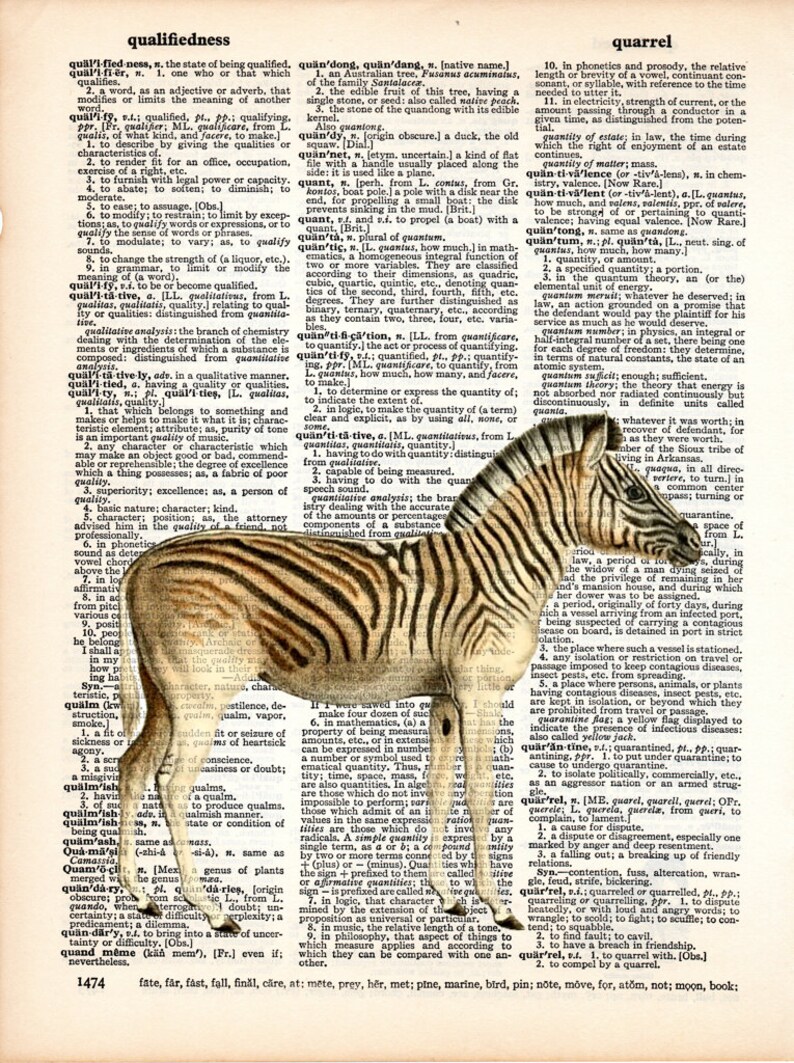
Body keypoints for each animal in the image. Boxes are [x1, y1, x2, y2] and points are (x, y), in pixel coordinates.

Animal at [117, 412, 701, 933]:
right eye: (634, 492)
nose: (697, 542)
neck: (501, 572)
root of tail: (141, 561)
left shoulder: (444, 697)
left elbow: (438, 789)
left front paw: (447, 896)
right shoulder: (480, 692)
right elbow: (481, 790)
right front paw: (499, 906)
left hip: (165, 691)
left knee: (133, 768)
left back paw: (142, 897)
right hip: (201, 694)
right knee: (172, 783)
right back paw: (212, 910)